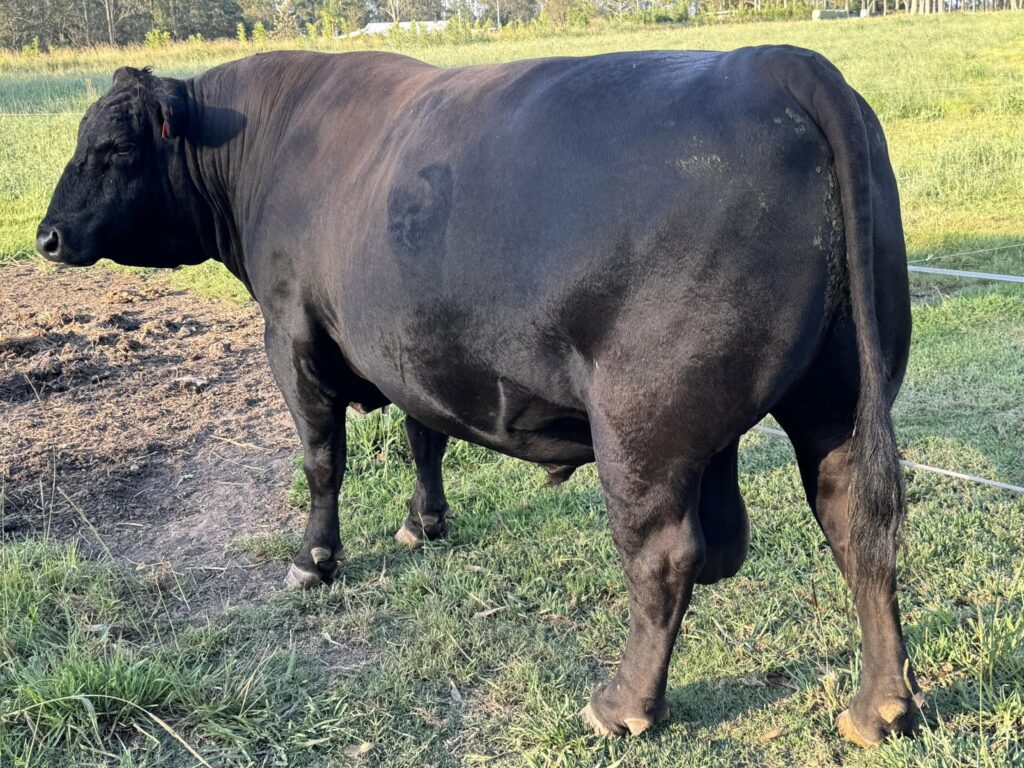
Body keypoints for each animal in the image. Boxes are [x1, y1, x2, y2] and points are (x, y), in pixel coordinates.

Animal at [37, 47, 920, 745]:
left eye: (113, 148)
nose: (45, 235)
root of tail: (776, 60)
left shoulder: (291, 334)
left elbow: (322, 460)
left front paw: (314, 561)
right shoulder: (407, 342)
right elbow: (423, 433)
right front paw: (423, 521)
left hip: (640, 420)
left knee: (666, 555)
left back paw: (622, 705)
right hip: (838, 396)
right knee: (857, 524)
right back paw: (880, 709)